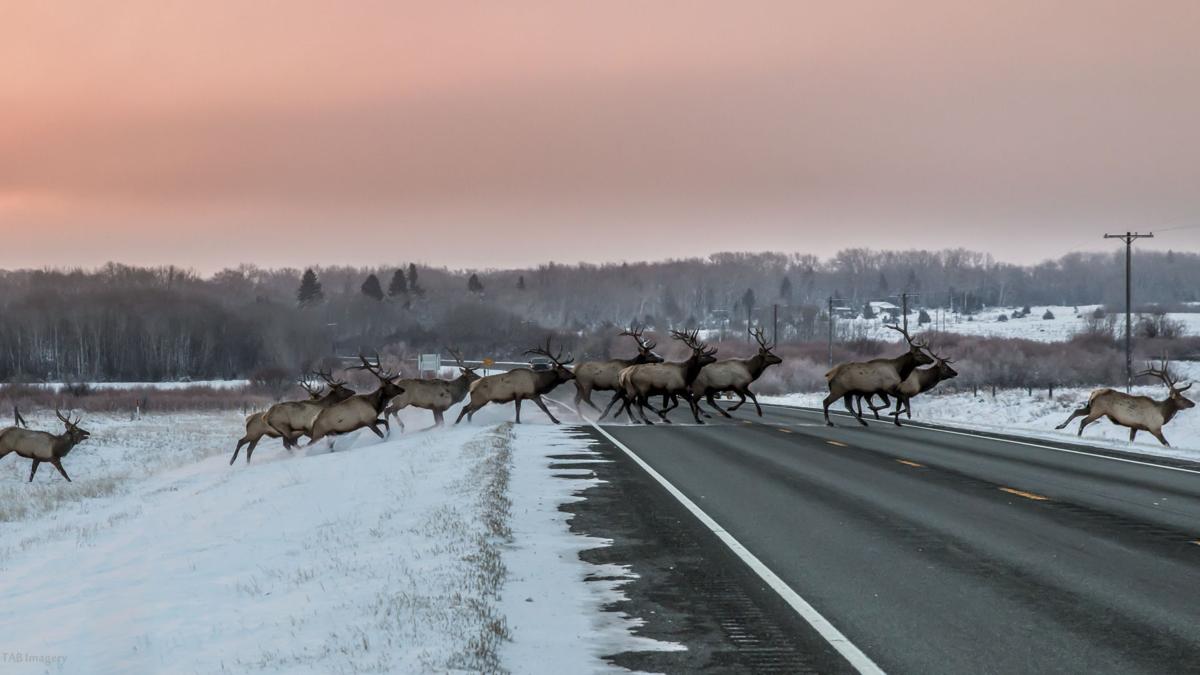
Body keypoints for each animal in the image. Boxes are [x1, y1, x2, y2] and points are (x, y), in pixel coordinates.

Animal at [1055, 358, 1194, 446]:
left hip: (1091, 407)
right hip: (1099, 410)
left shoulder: (1134, 426)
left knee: (1076, 411)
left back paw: (1059, 426)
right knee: (1083, 421)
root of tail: (1094, 393)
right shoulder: (1154, 427)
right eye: (1181, 398)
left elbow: (1131, 440)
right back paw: (1078, 436)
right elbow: (1167, 444)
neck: (1163, 414)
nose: (1193, 403)